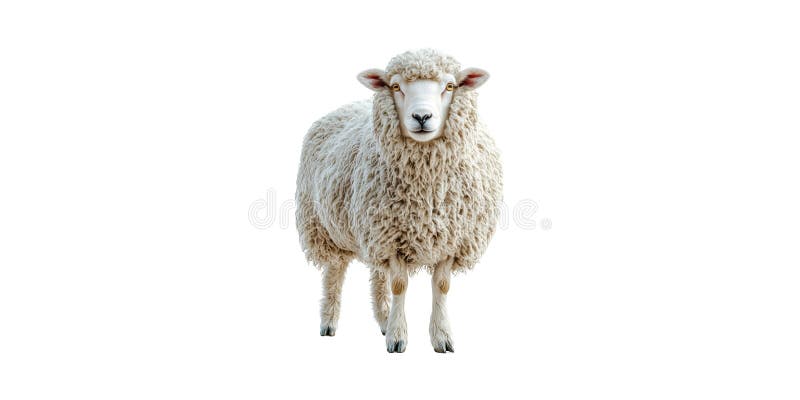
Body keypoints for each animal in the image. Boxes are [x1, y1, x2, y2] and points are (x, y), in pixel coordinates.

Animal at [295, 49, 502, 353]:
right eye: (395, 87)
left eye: (450, 86)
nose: (422, 116)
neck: (428, 189)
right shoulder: (392, 239)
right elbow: (400, 286)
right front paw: (397, 337)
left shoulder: (449, 238)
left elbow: (441, 286)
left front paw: (441, 336)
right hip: (327, 227)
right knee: (335, 272)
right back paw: (329, 322)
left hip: (373, 232)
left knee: (378, 276)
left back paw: (383, 319)